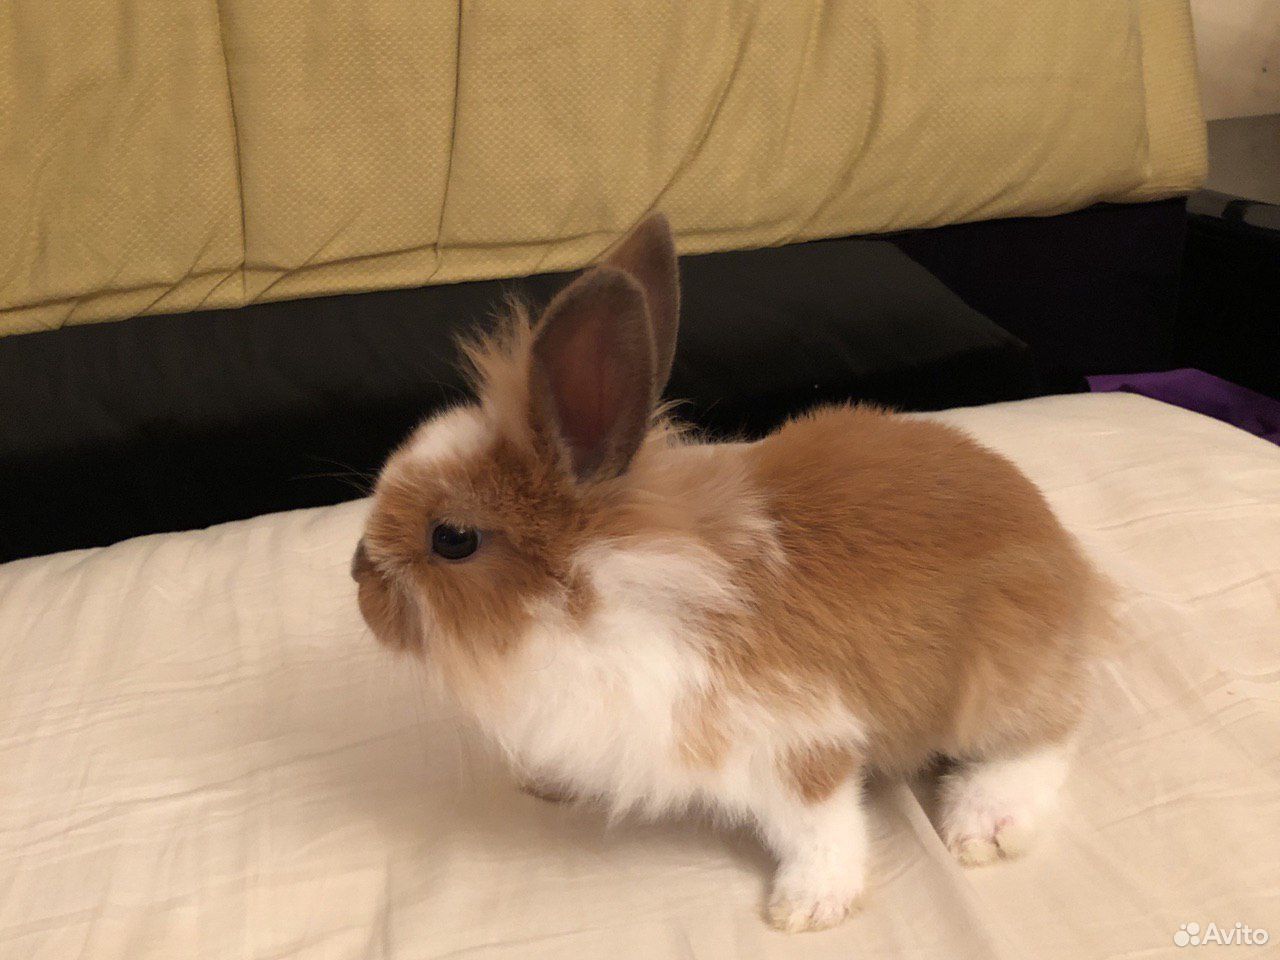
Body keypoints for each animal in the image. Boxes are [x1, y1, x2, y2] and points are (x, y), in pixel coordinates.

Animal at [352, 213, 1113, 932]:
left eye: (452, 539)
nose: (359, 579)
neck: (595, 597)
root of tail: (1065, 556)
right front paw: (550, 782)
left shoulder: (798, 738)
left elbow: (822, 825)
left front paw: (810, 907)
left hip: (999, 670)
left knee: (1049, 735)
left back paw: (982, 824)